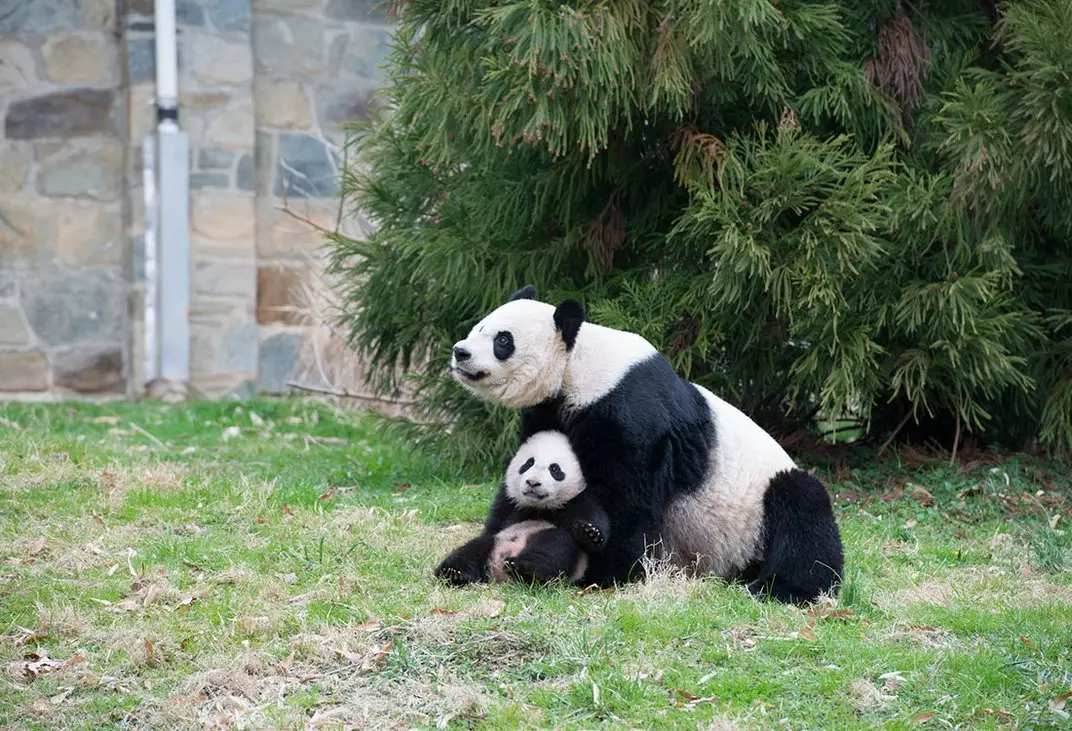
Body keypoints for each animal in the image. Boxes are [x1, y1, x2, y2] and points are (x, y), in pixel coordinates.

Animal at [441, 280, 844, 600]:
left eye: (502, 340)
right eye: (478, 327)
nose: (461, 351)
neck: (578, 366)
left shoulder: (631, 409)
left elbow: (627, 494)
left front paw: (606, 572)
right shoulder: (547, 410)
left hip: (756, 506)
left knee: (803, 512)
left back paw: (782, 589)